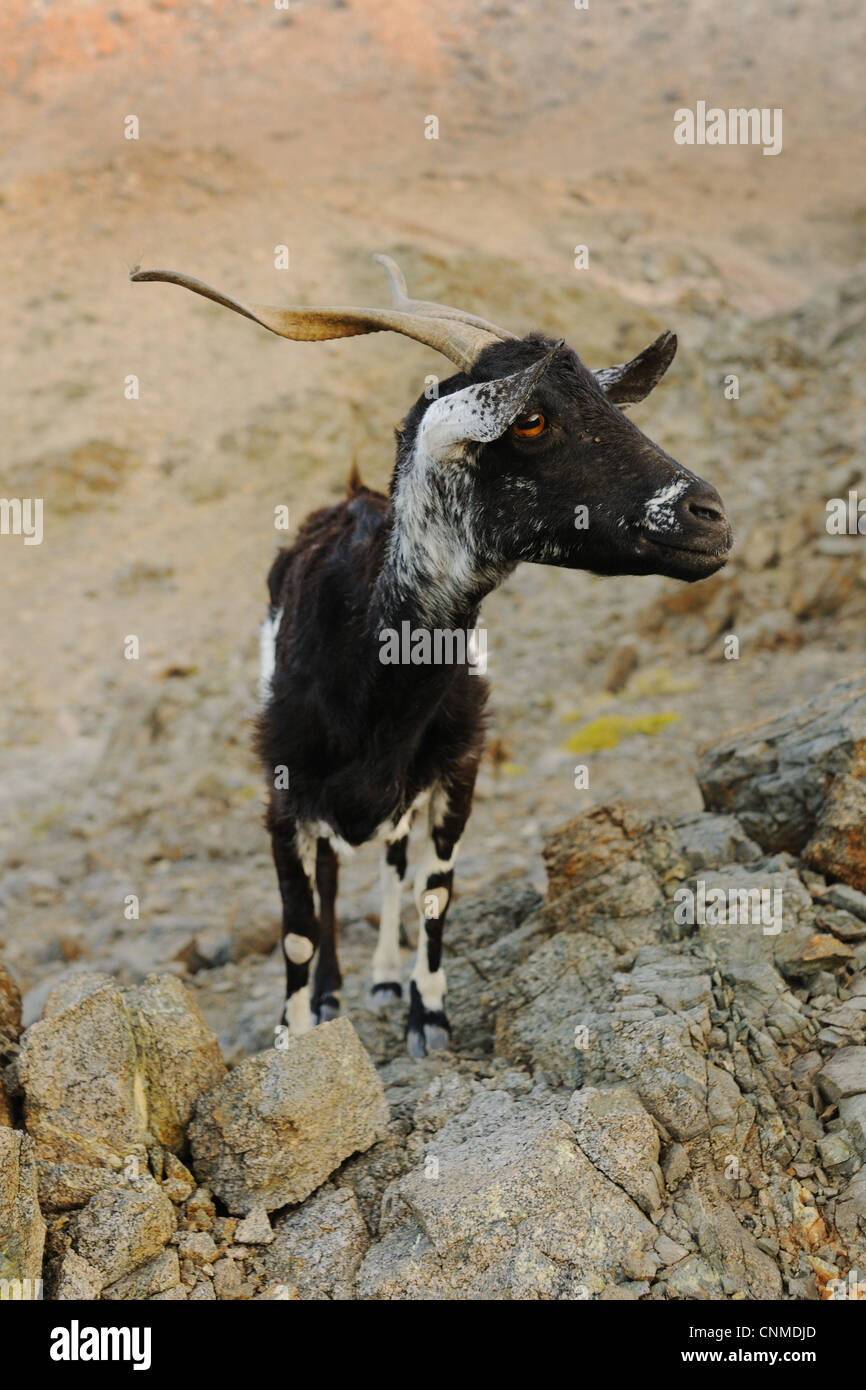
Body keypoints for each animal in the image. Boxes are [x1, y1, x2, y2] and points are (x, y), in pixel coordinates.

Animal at [131, 255, 732, 1056]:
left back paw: (387, 980)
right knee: (332, 878)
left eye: (612, 405)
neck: (366, 678)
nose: (711, 518)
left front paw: (429, 1016)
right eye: (531, 418)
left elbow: (436, 891)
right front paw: (295, 1038)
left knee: (392, 863)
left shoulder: (459, 768)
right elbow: (297, 928)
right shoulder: (283, 792)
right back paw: (333, 993)